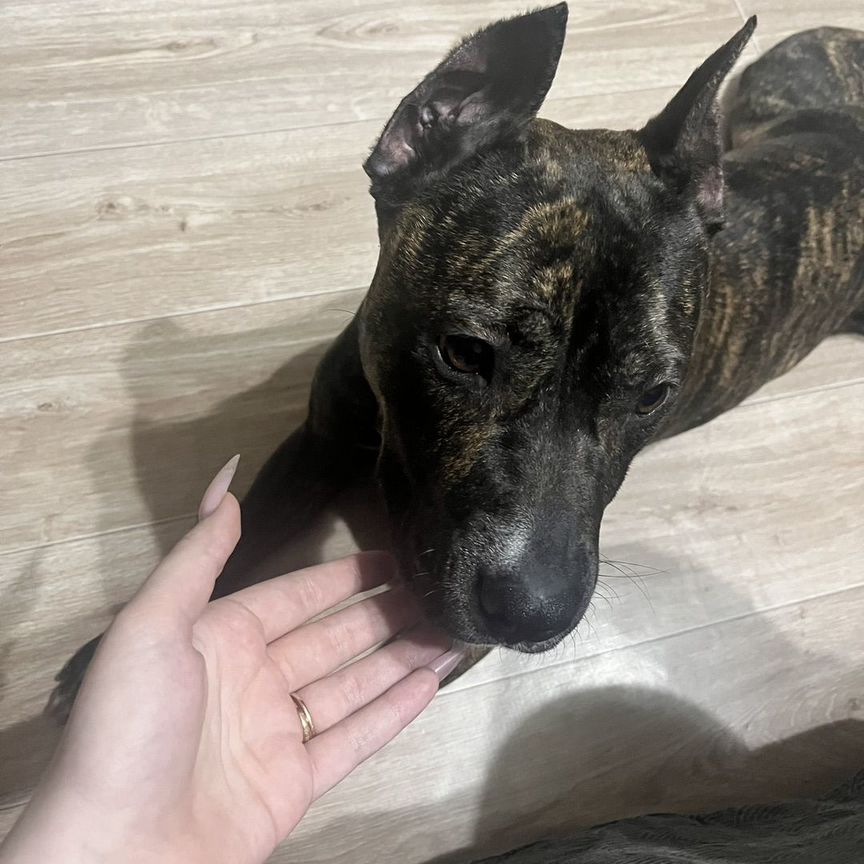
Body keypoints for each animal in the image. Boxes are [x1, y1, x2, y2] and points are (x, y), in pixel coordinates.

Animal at [51, 5, 864, 717]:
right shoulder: (317, 441)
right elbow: (239, 535)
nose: (536, 614)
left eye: (654, 395)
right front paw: (114, 664)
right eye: (464, 353)